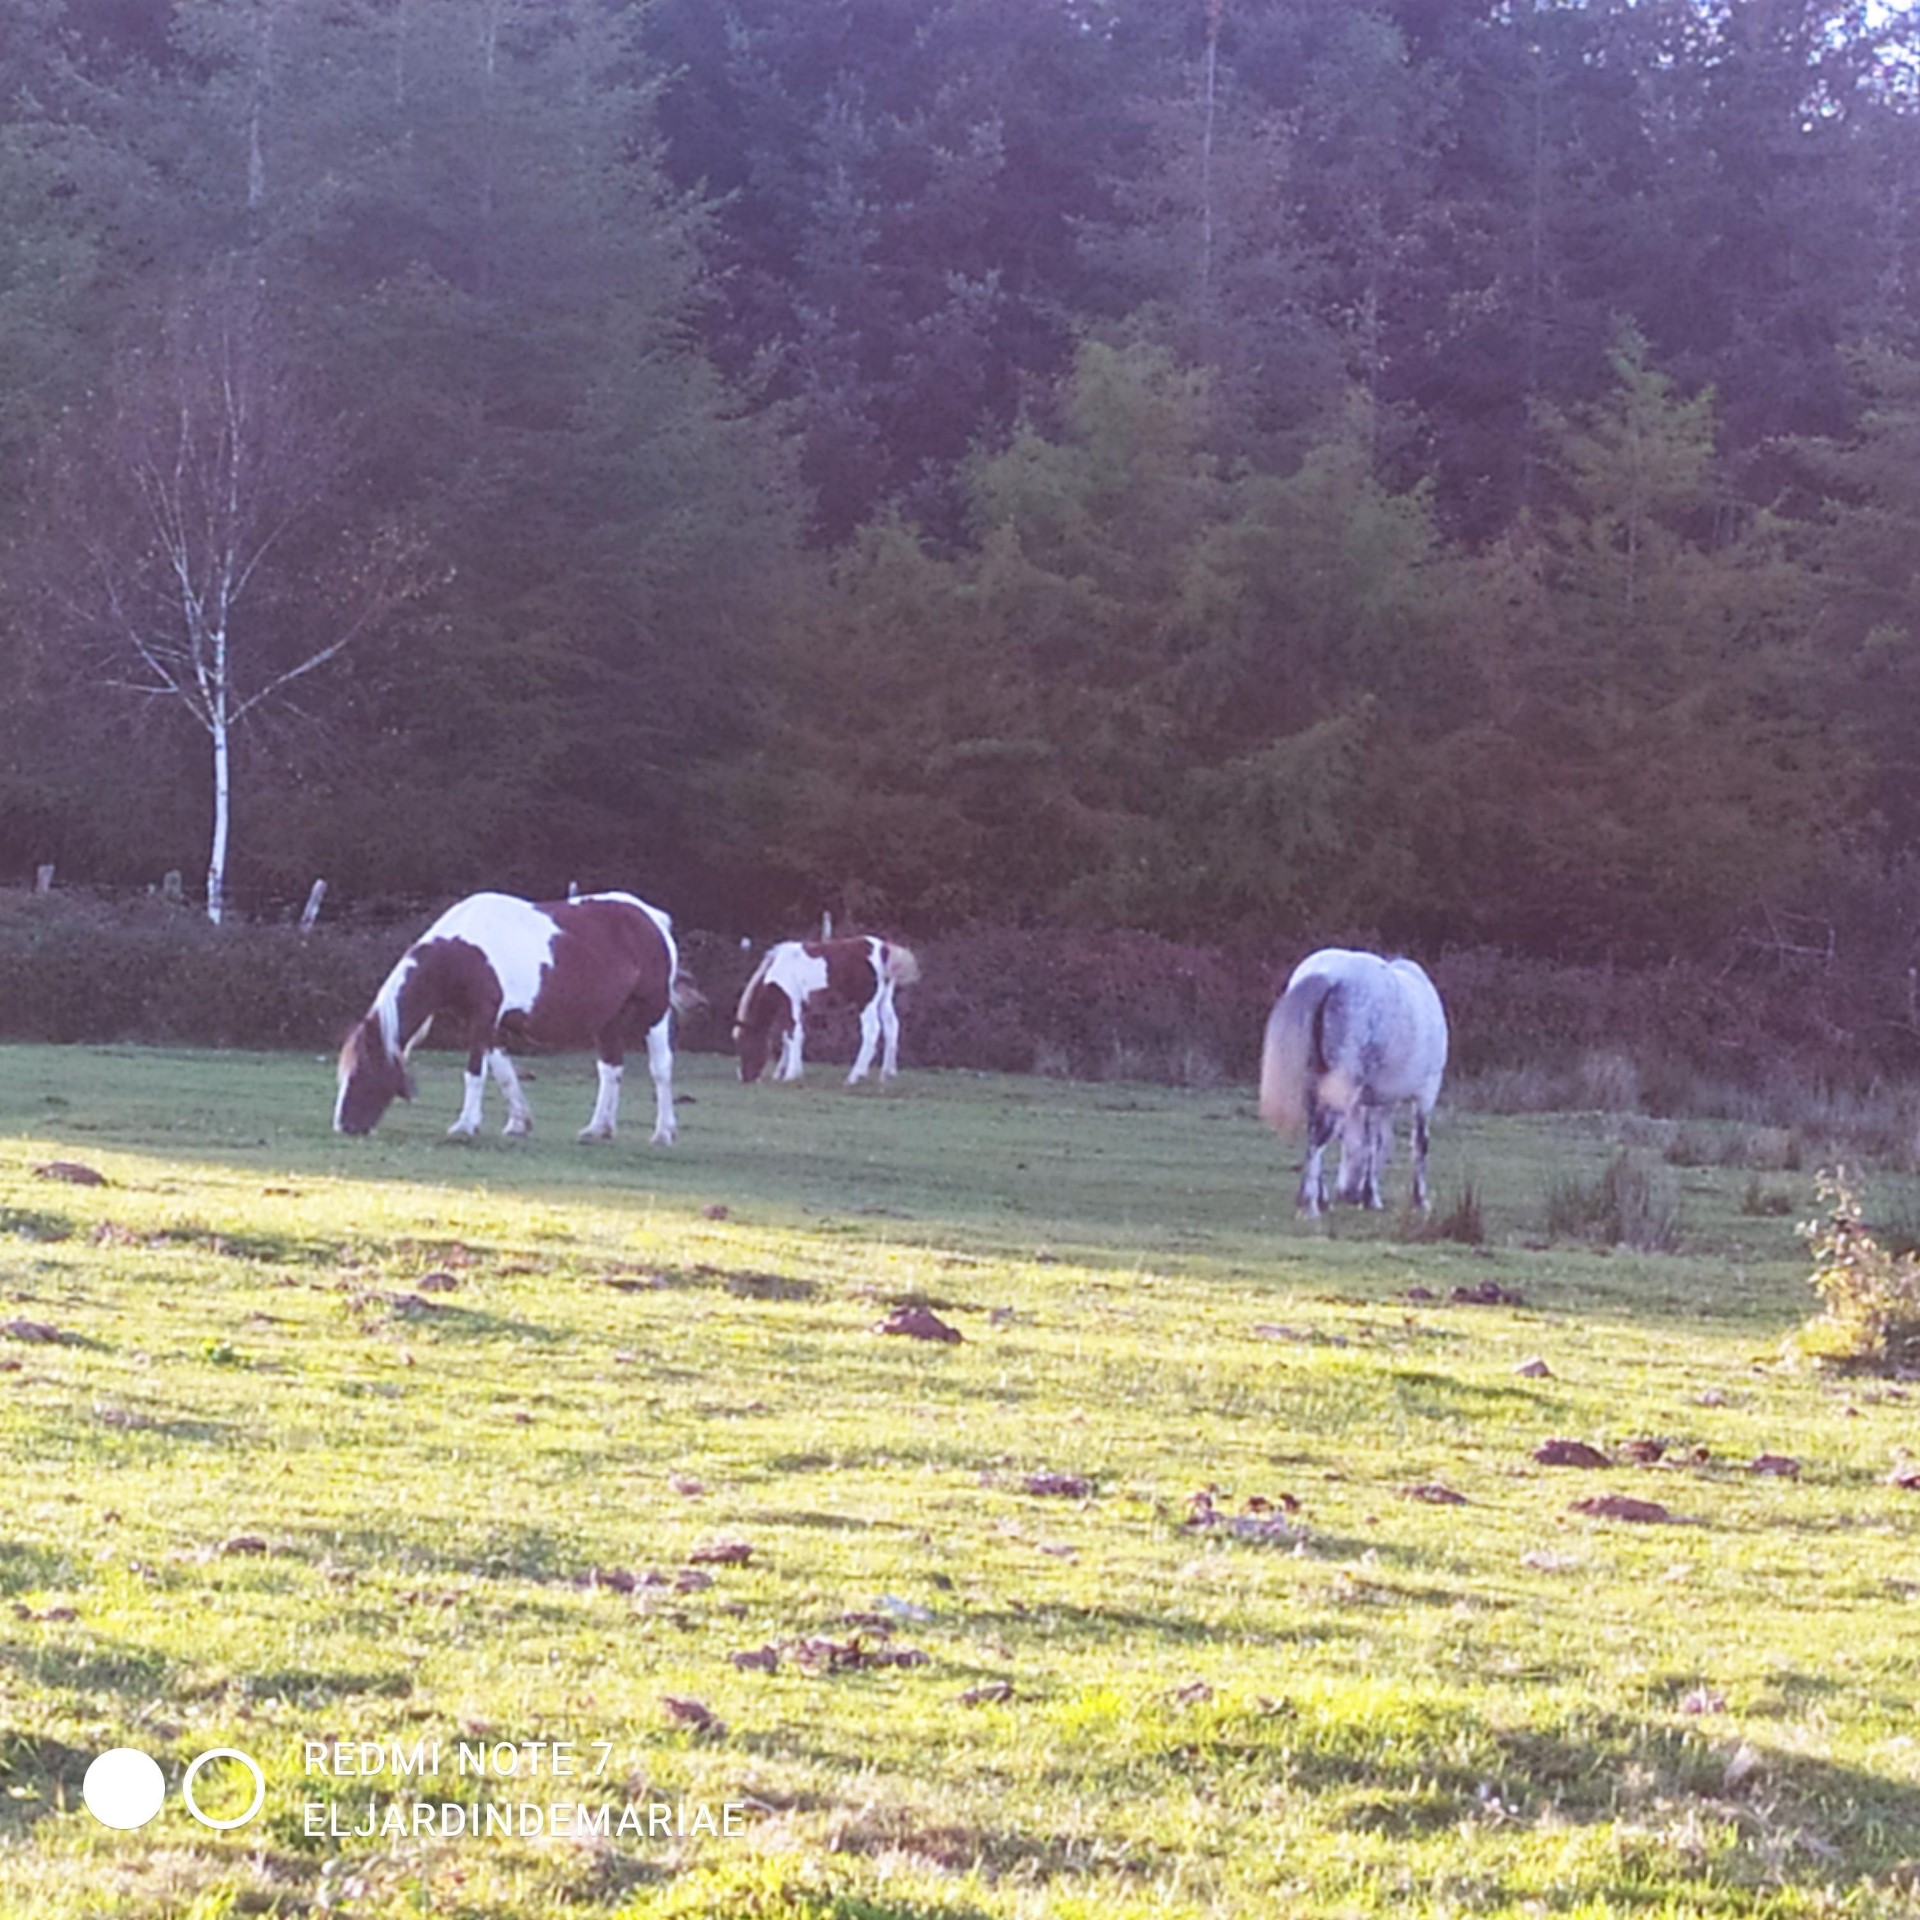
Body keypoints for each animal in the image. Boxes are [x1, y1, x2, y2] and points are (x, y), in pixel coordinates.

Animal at [335, 891, 695, 1144]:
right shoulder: (487, 1024)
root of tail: (652, 917)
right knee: (611, 1069)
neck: (461, 952)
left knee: (660, 1070)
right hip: (608, 1021)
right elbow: (504, 1073)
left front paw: (465, 1125)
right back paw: (598, 1129)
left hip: (654, 1014)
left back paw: (663, 1133)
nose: (343, 1126)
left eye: (362, 1071)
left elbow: (475, 1073)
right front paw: (519, 1123)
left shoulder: (483, 1017)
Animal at [733, 936, 921, 1084]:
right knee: (891, 1027)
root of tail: (883, 949)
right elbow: (789, 1036)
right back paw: (887, 1074)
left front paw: (791, 1074)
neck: (779, 968)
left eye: (745, 1045)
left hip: (867, 1004)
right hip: (885, 999)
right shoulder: (799, 1008)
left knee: (872, 1031)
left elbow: (794, 1035)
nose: (745, 1077)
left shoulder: (791, 1003)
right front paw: (780, 1072)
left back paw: (854, 1076)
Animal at [1258, 948, 1448, 1218]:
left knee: (1314, 1131)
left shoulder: (1373, 1099)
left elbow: (1372, 1141)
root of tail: (1328, 975)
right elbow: (1419, 1143)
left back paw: (1317, 1197)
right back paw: (1311, 1205)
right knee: (1320, 1133)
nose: (1348, 1193)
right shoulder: (1426, 1092)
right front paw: (1419, 1199)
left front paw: (1370, 1196)